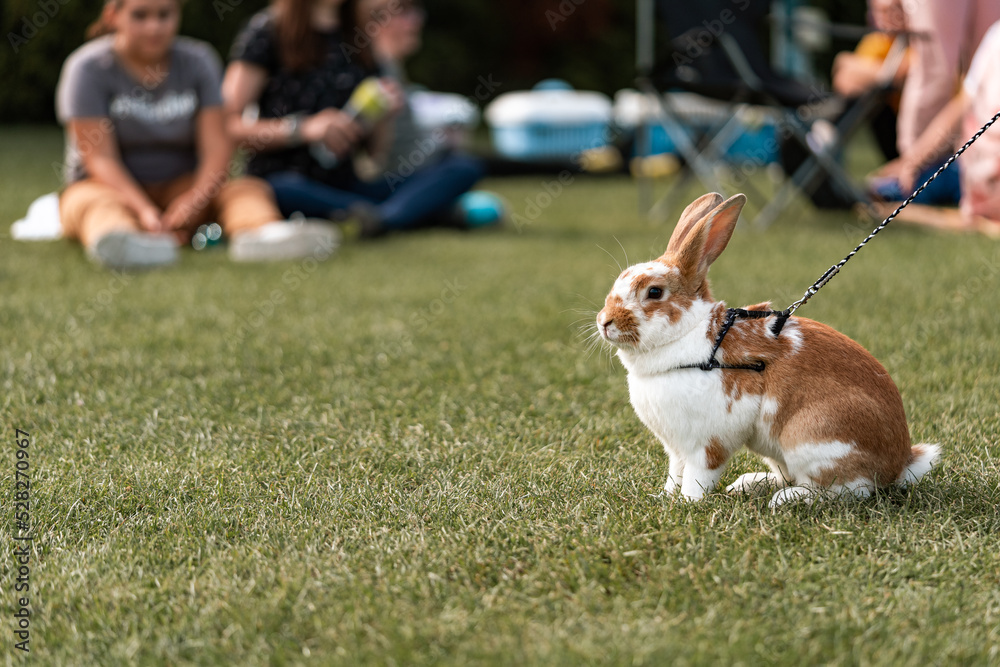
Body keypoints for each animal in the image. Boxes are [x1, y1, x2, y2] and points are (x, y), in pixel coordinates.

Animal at [596, 192, 940, 508]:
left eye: (654, 292)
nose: (604, 322)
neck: (689, 333)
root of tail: (898, 465)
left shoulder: (706, 444)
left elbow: (697, 477)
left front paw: (688, 503)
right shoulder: (676, 448)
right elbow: (674, 473)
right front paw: (666, 498)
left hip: (810, 439)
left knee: (845, 489)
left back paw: (784, 499)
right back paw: (747, 484)